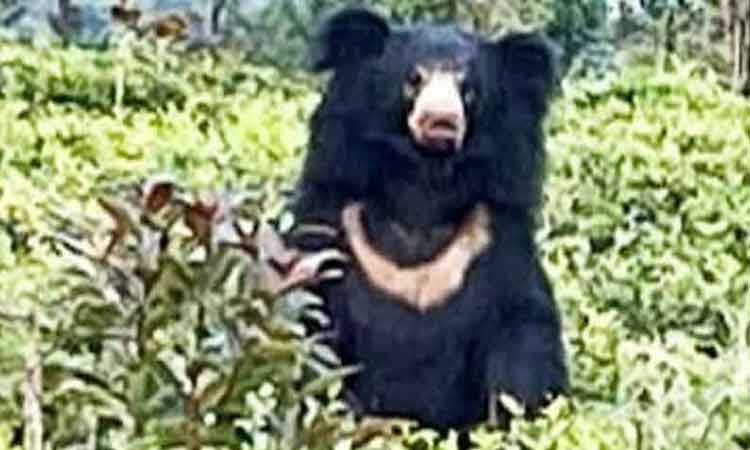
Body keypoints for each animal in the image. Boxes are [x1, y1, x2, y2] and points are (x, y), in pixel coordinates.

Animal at [288, 7, 568, 432]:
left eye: (467, 88)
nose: (441, 119)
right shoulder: (329, 227)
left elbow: (523, 330)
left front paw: (513, 413)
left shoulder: (496, 242)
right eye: (414, 79)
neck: (422, 186)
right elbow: (307, 318)